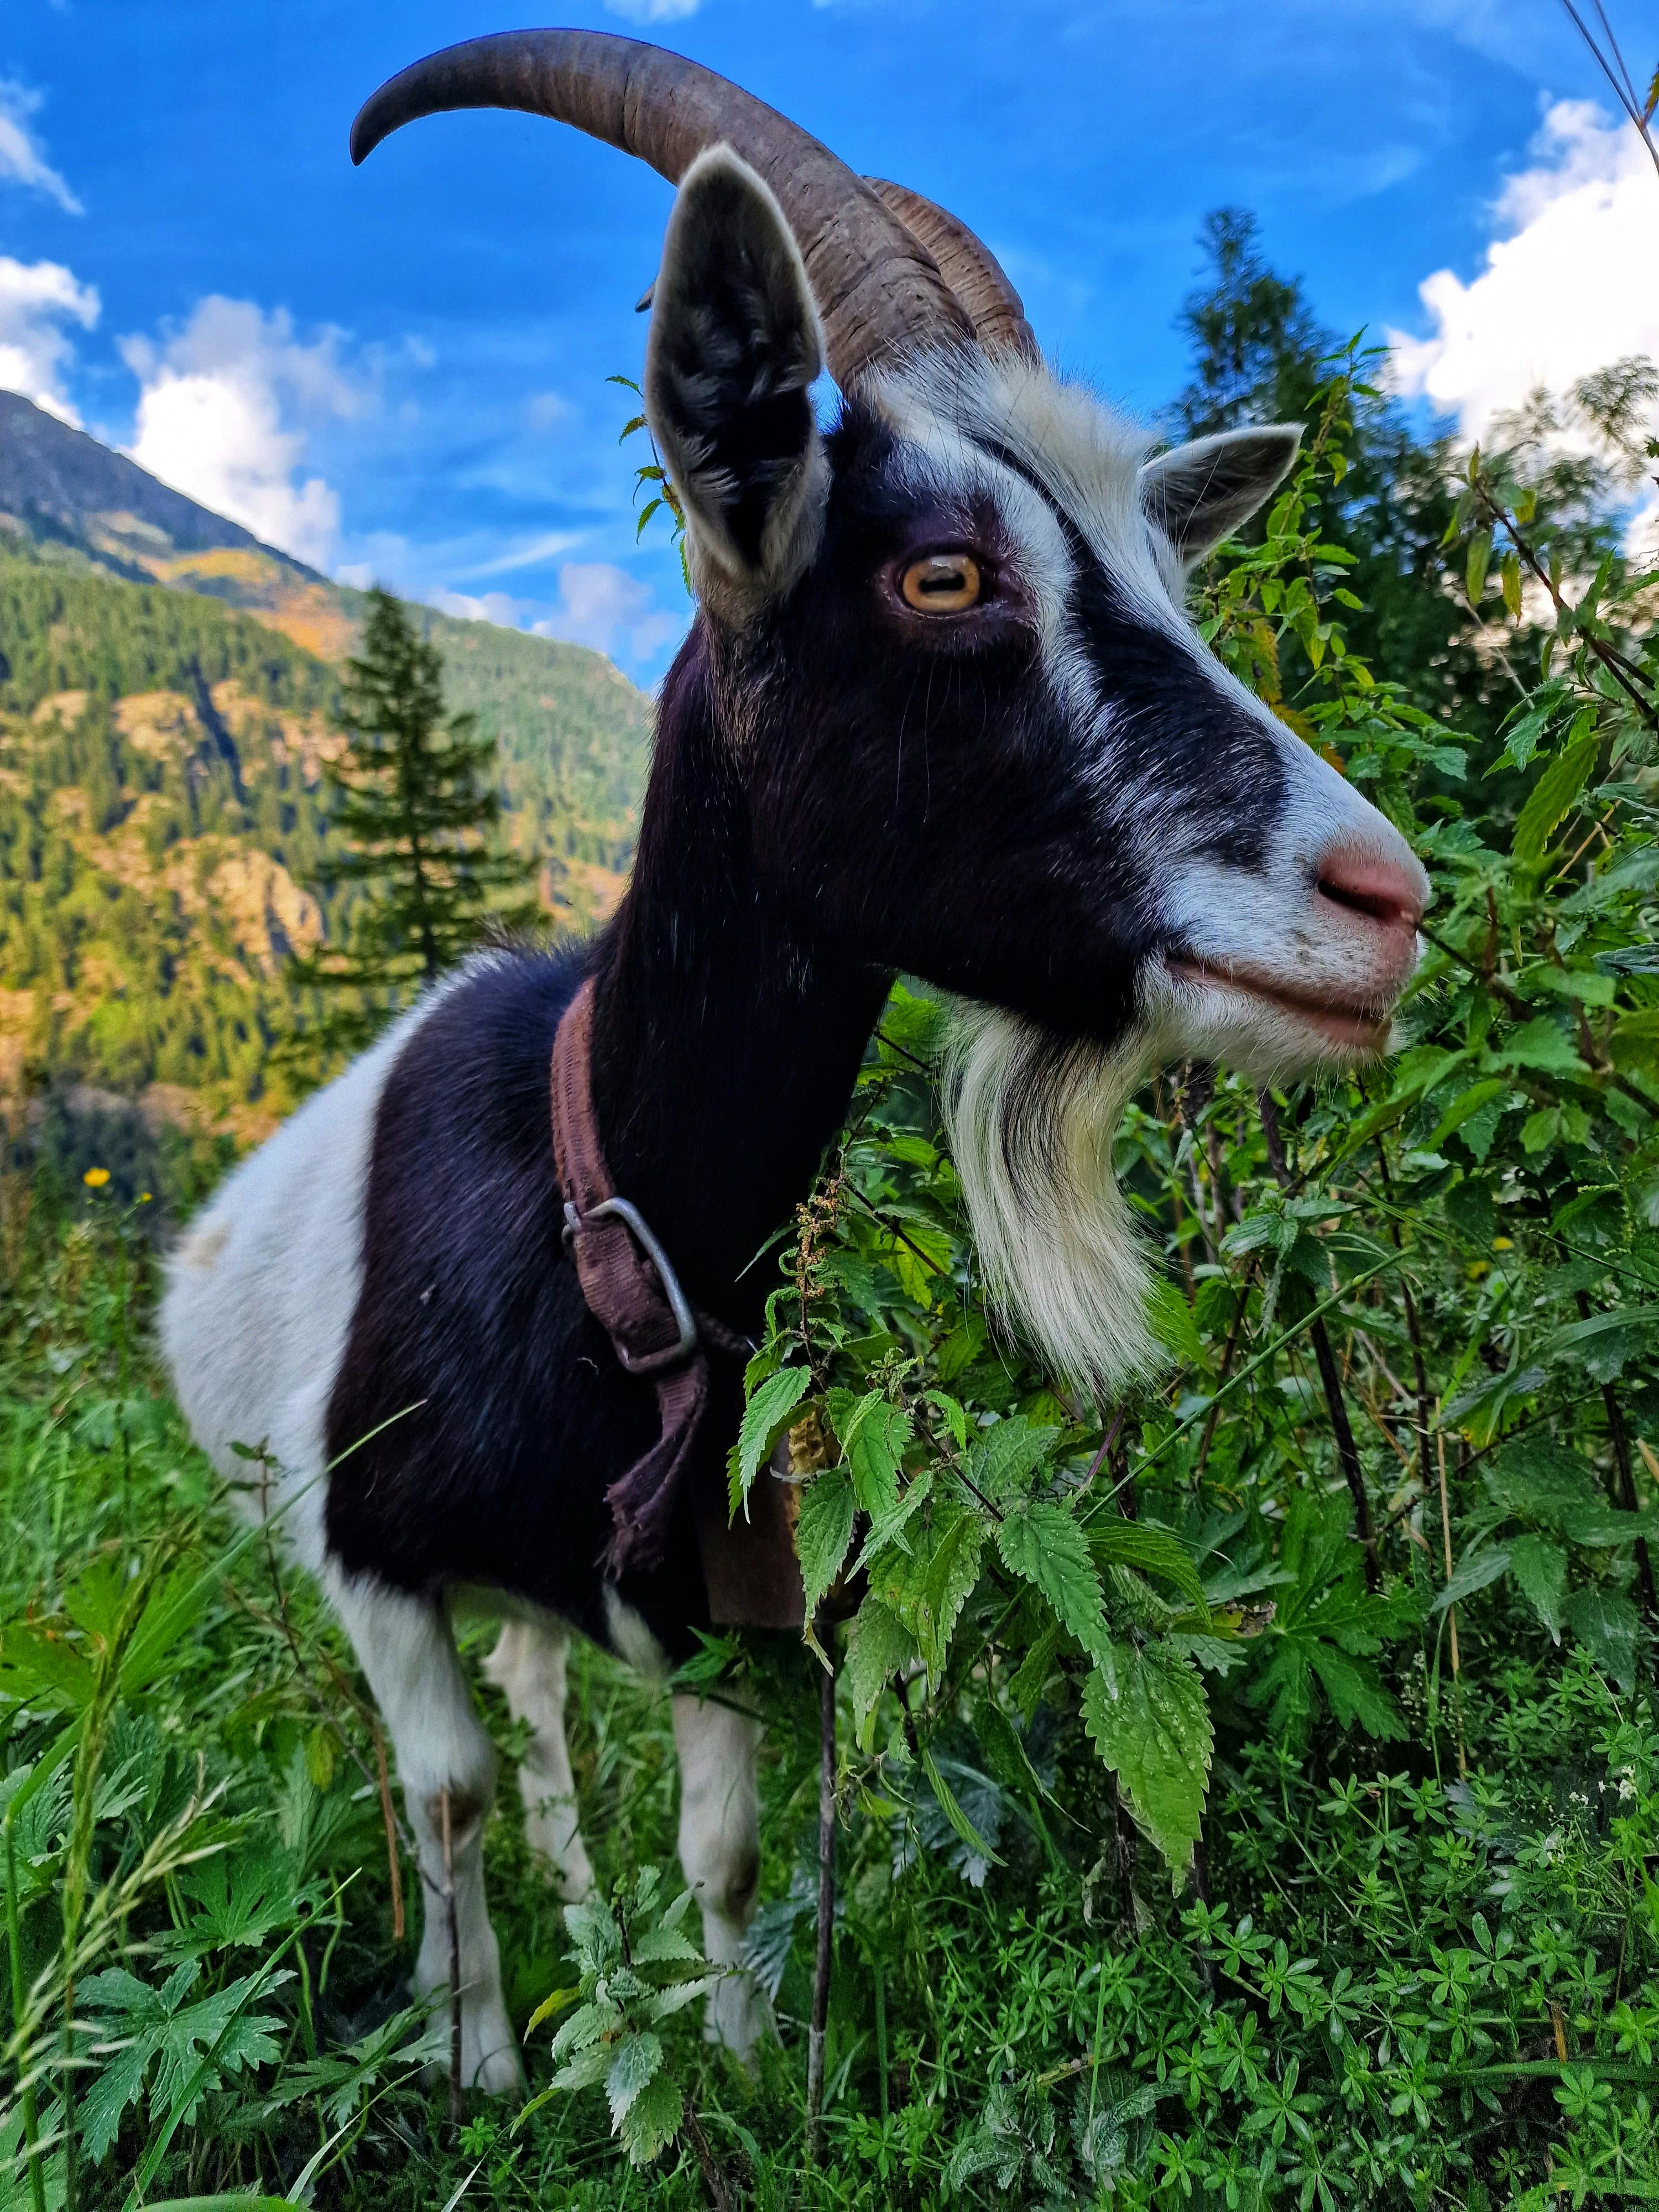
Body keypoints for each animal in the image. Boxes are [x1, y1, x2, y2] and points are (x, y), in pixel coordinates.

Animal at [160, 27, 1429, 2091]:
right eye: (942, 578)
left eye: (1166, 576)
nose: (1382, 901)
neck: (593, 1213)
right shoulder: (361, 1556)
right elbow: (441, 1797)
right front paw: (480, 2062)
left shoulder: (724, 1591)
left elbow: (724, 1846)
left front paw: (742, 2070)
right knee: (490, 1760)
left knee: (545, 1728)